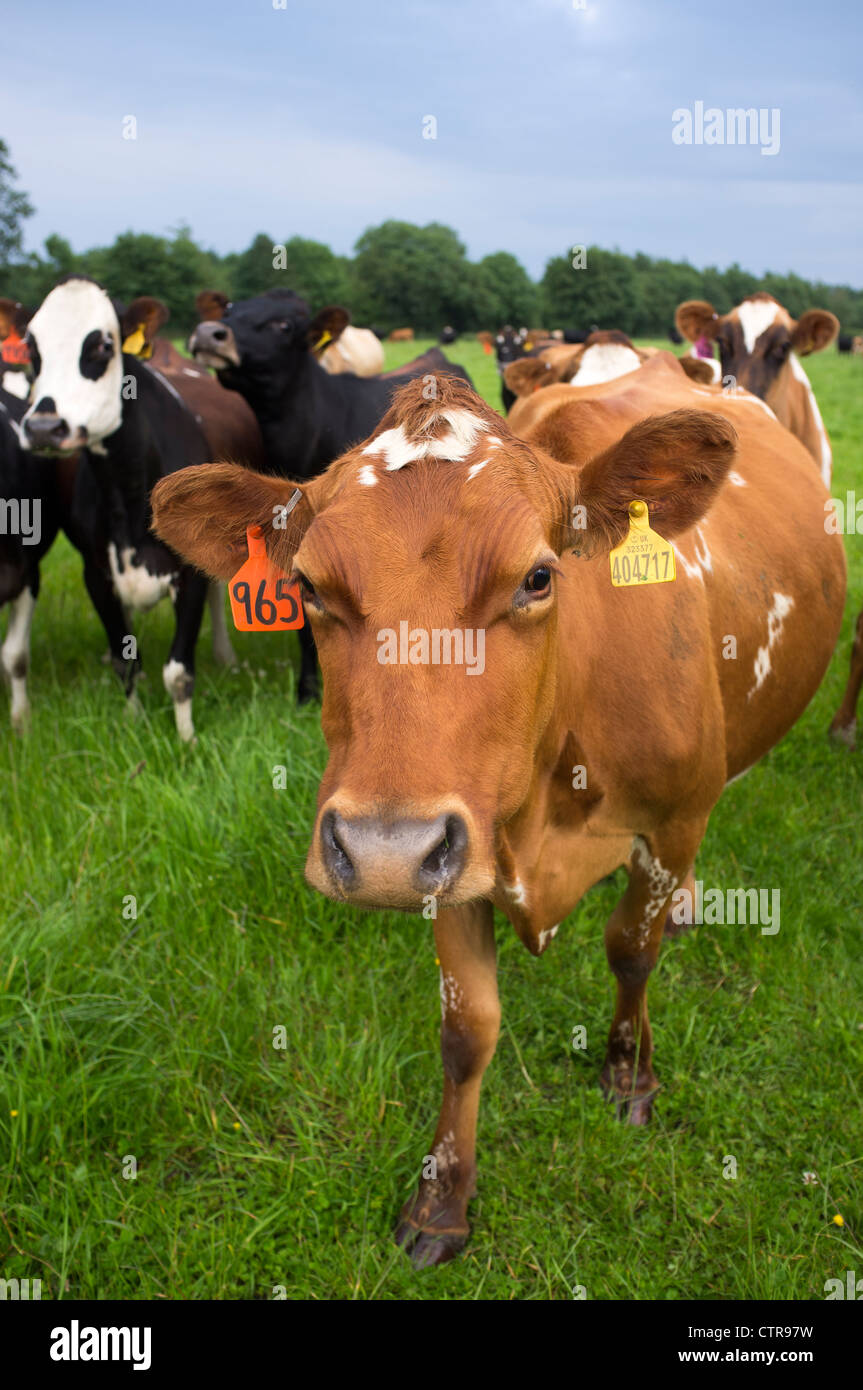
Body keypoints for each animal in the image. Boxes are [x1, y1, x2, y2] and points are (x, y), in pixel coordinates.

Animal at [19, 275, 239, 742]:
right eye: (31, 348)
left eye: (103, 346)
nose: (44, 427)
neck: (129, 487)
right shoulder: (97, 573)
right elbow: (126, 663)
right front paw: (132, 720)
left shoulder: (188, 574)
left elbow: (178, 671)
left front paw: (187, 738)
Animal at [151, 361, 845, 1268]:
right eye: (305, 587)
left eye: (537, 577)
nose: (379, 849)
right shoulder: (456, 855)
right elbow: (467, 1028)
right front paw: (442, 1198)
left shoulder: (670, 819)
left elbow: (631, 949)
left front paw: (628, 1074)